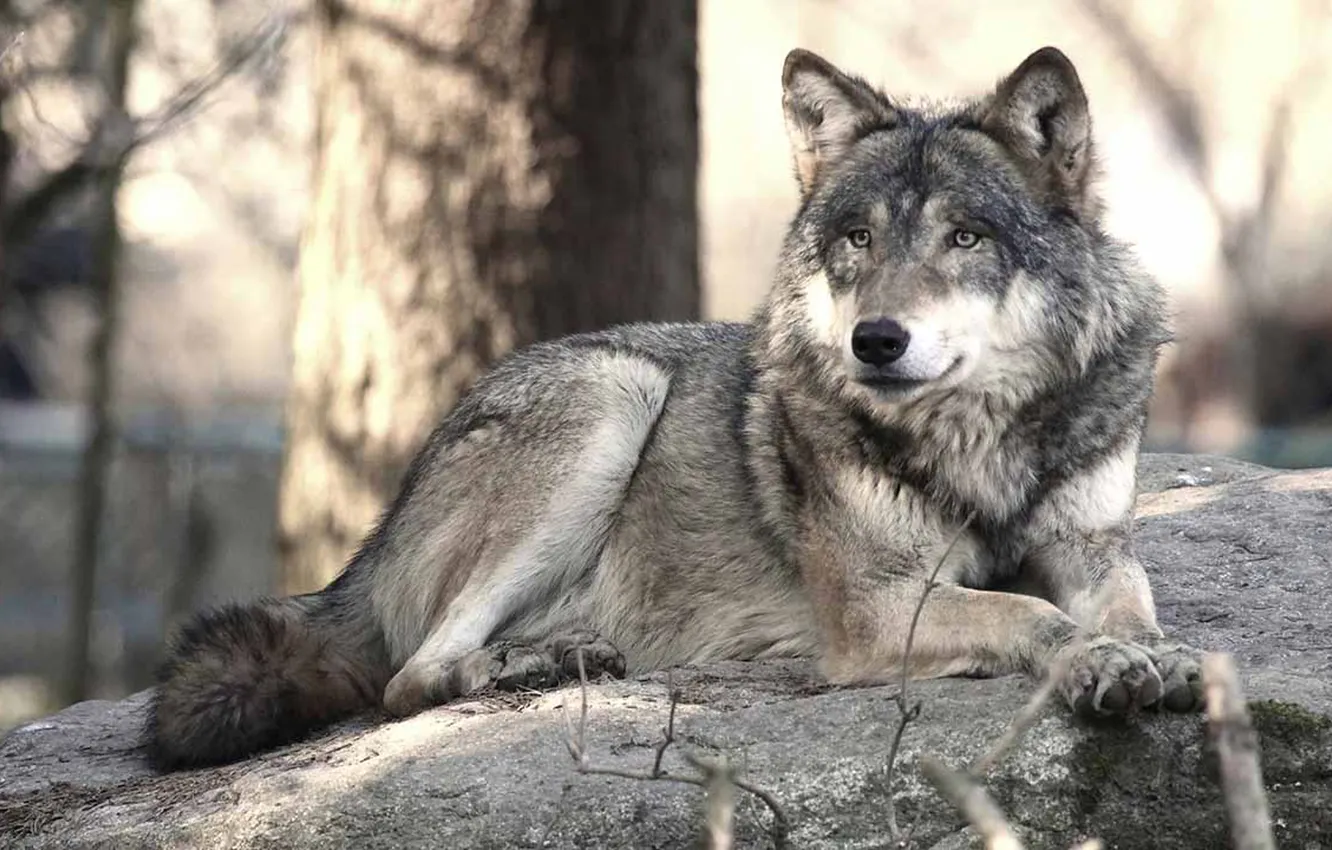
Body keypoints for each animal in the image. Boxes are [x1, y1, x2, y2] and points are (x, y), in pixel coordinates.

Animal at [147, 46, 1205, 770]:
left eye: (966, 237)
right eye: (857, 239)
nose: (875, 341)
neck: (982, 437)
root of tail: (371, 542)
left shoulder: (1092, 546)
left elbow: (1127, 606)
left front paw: (1162, 657)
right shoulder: (878, 607)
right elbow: (1030, 612)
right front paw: (1098, 662)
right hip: (613, 394)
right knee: (409, 675)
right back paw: (524, 666)